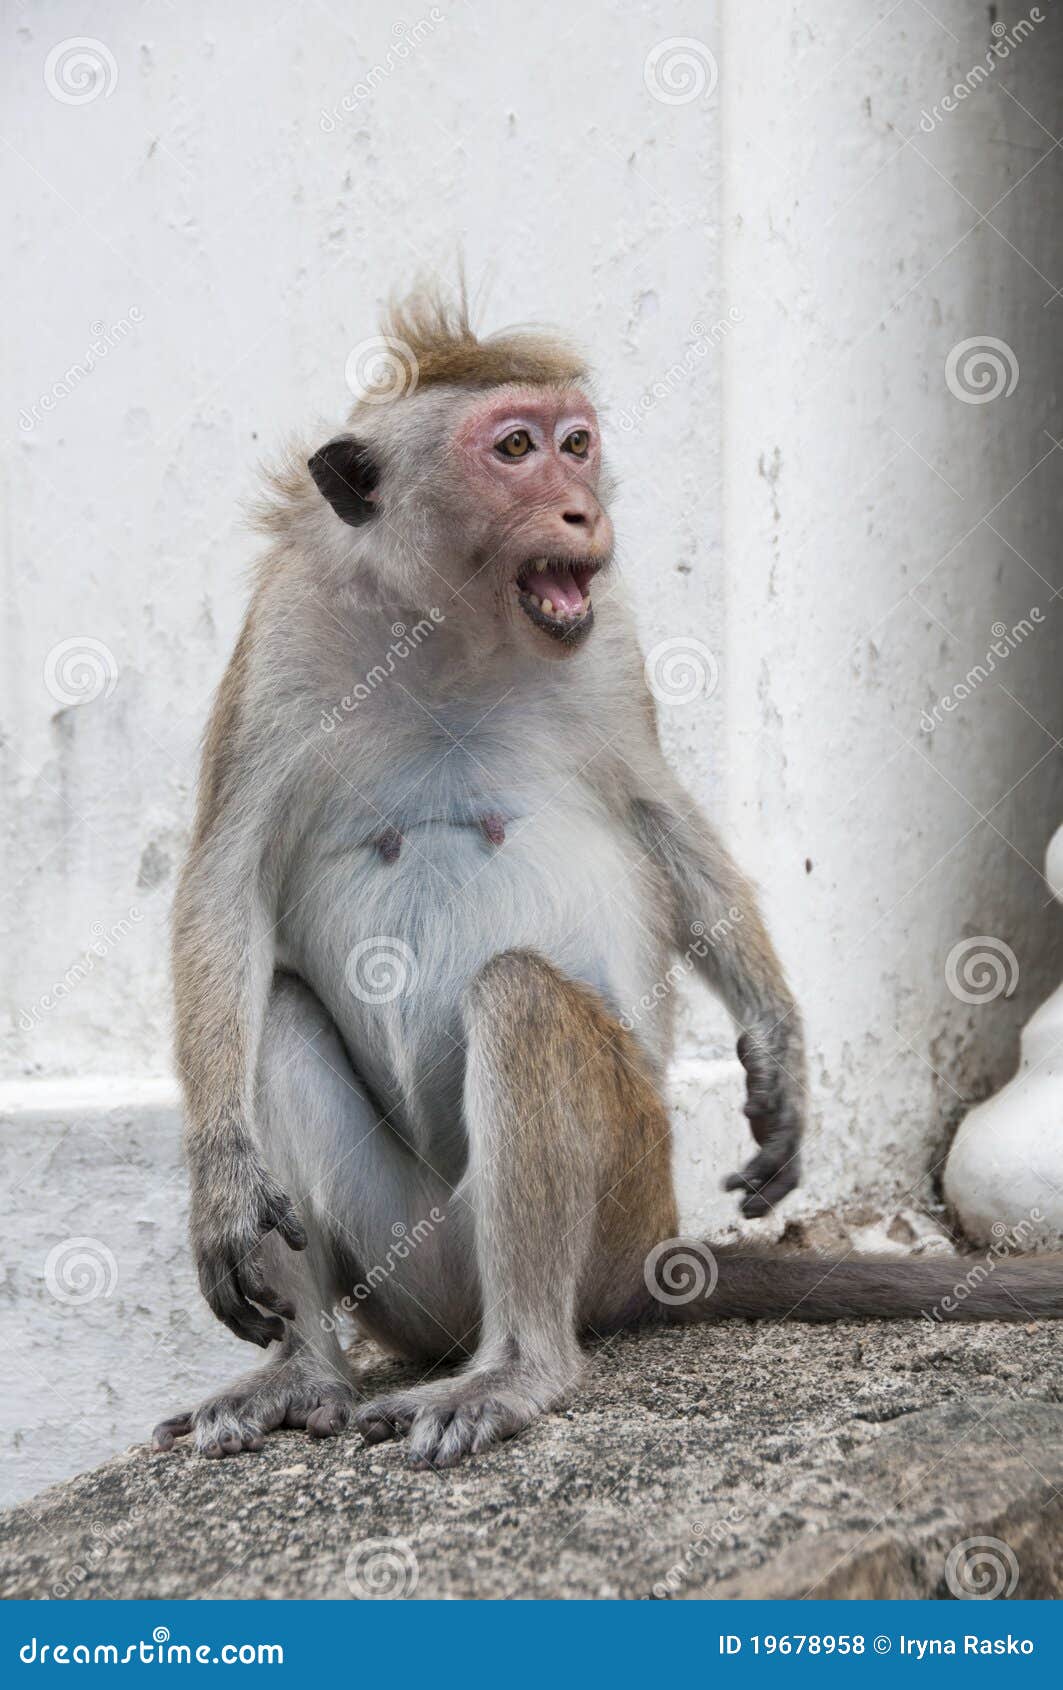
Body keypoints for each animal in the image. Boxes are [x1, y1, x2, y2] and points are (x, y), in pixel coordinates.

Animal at [152, 284, 1062, 1470]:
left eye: (575, 443)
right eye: (515, 449)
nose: (582, 510)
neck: (445, 628)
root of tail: (644, 1260)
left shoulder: (612, 641)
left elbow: (656, 815)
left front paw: (777, 1046)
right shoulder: (282, 643)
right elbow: (225, 887)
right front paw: (220, 1185)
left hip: (623, 1188)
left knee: (520, 997)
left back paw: (519, 1368)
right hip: (406, 1268)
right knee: (281, 1013)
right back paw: (307, 1370)